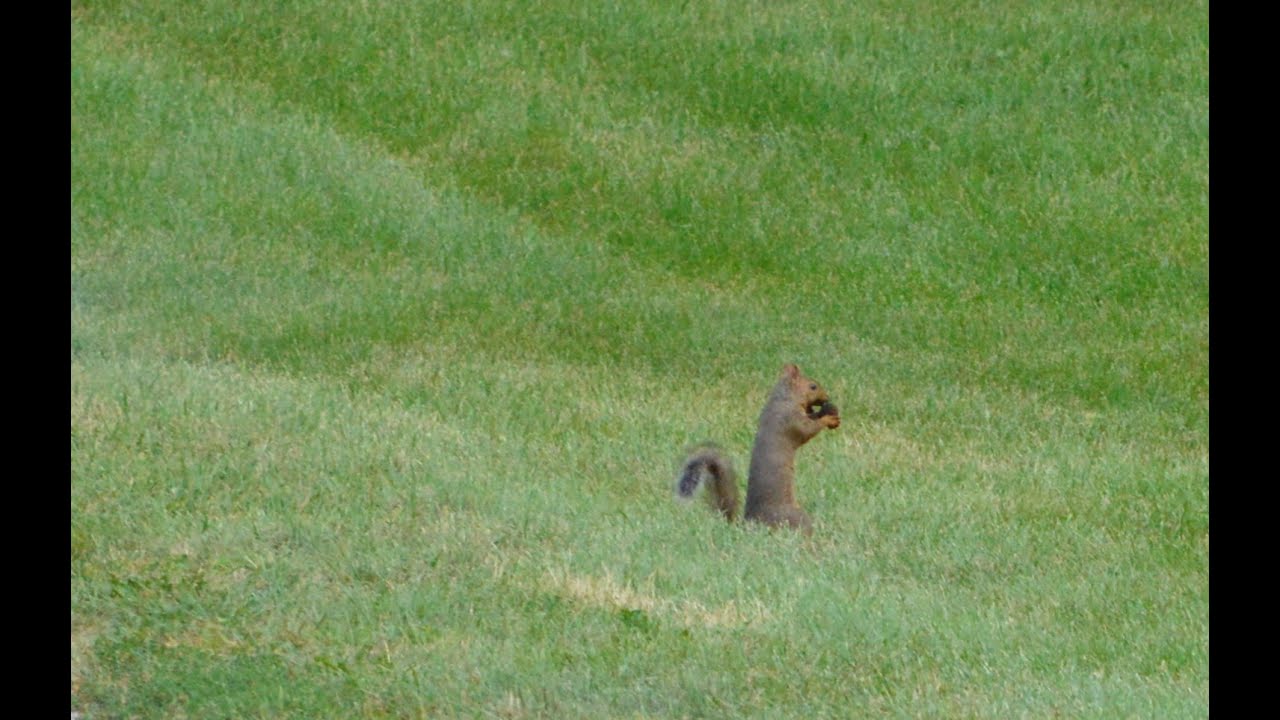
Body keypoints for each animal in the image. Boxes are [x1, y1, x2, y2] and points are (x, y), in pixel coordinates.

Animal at [675, 364, 840, 533]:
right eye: (813, 386)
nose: (827, 398)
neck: (784, 398)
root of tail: (750, 522)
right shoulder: (790, 419)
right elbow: (807, 430)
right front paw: (828, 418)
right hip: (794, 517)